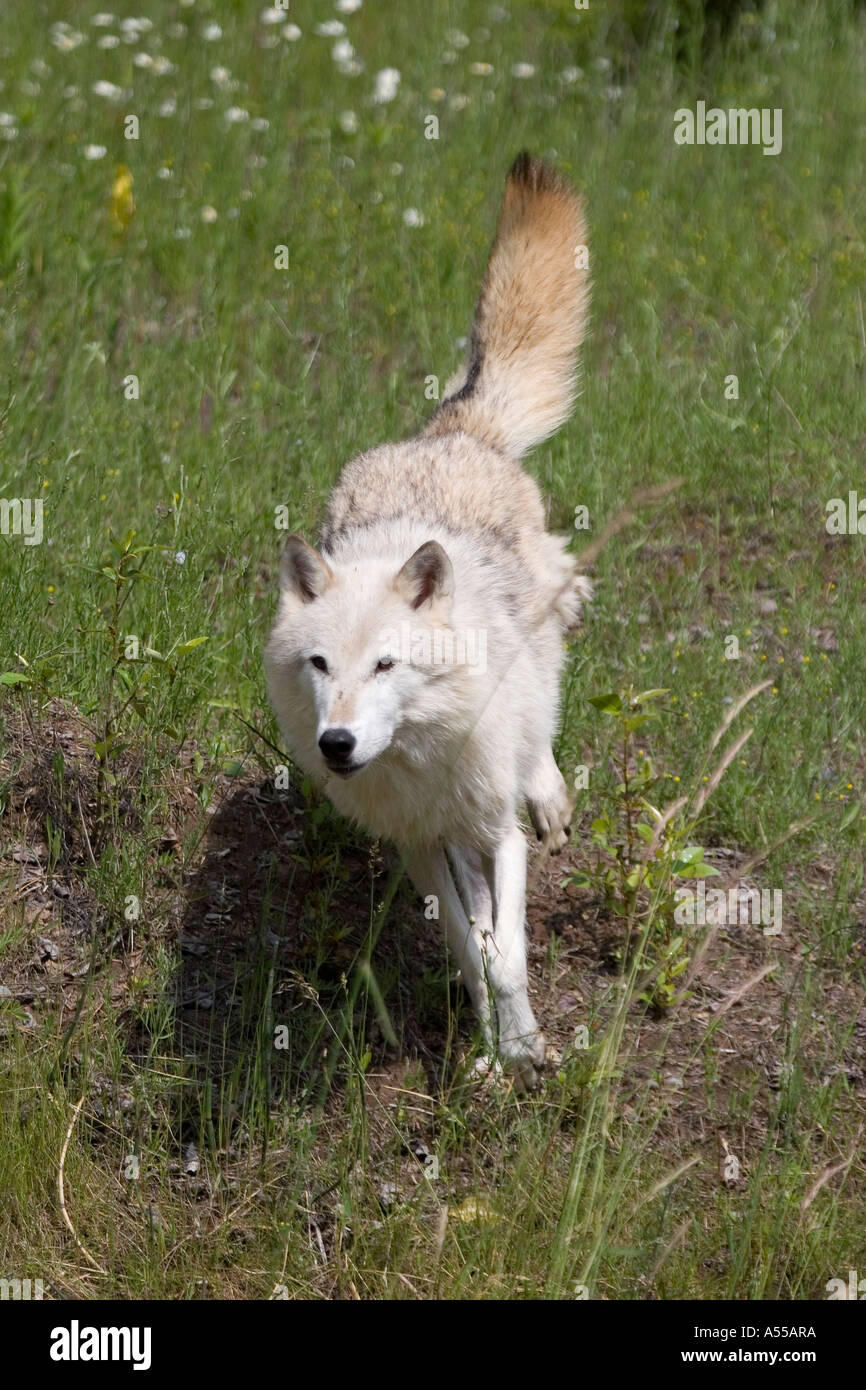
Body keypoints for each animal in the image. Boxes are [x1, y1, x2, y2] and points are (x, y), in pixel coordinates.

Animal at [265, 153, 590, 1088]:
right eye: (321, 667)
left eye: (387, 666)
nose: (337, 744)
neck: (421, 758)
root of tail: (449, 430)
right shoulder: (424, 846)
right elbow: (472, 950)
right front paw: (497, 1051)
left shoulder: (493, 832)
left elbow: (508, 950)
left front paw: (523, 1050)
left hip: (547, 634)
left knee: (547, 709)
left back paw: (550, 788)